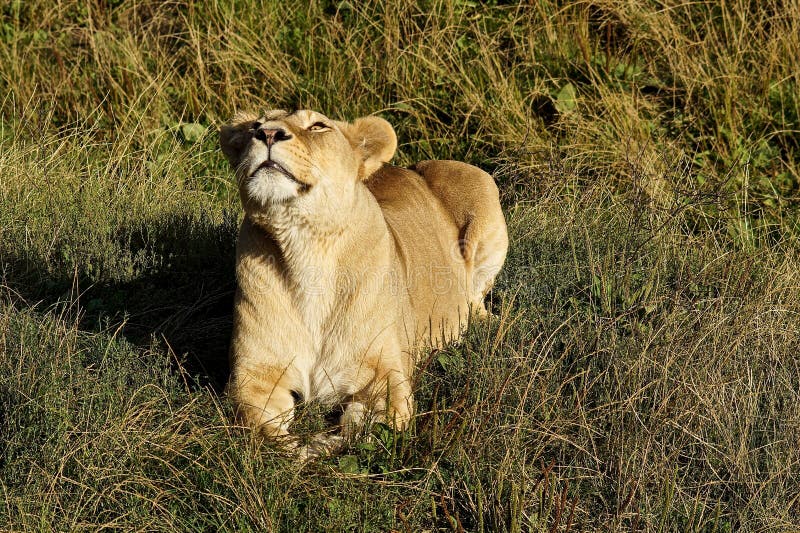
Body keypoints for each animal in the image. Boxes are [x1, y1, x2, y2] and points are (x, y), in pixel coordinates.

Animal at [220, 109, 508, 457]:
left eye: (318, 126)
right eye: (255, 126)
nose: (269, 134)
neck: (306, 246)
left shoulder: (385, 379)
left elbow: (368, 432)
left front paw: (322, 446)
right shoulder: (252, 375)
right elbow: (259, 427)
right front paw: (295, 448)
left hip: (480, 187)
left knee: (476, 299)